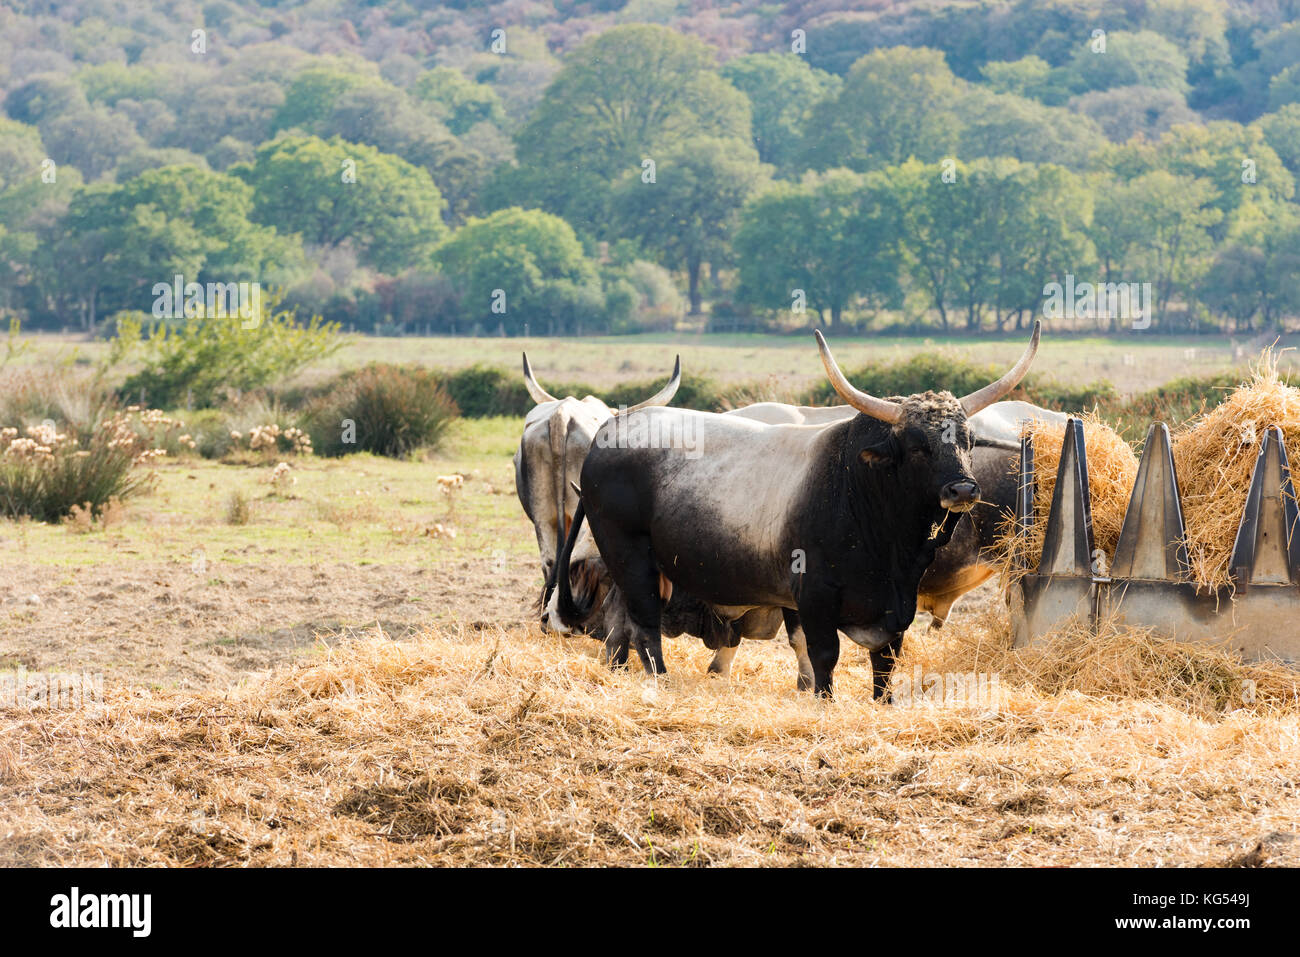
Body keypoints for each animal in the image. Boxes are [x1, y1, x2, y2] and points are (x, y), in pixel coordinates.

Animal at [553, 322, 1042, 699]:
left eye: (969, 441)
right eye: (918, 445)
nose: (963, 487)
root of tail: (612, 429)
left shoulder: (897, 606)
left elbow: (884, 664)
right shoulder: (815, 595)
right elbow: (821, 657)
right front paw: (823, 700)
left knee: (621, 626)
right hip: (629, 557)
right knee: (644, 626)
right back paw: (661, 681)